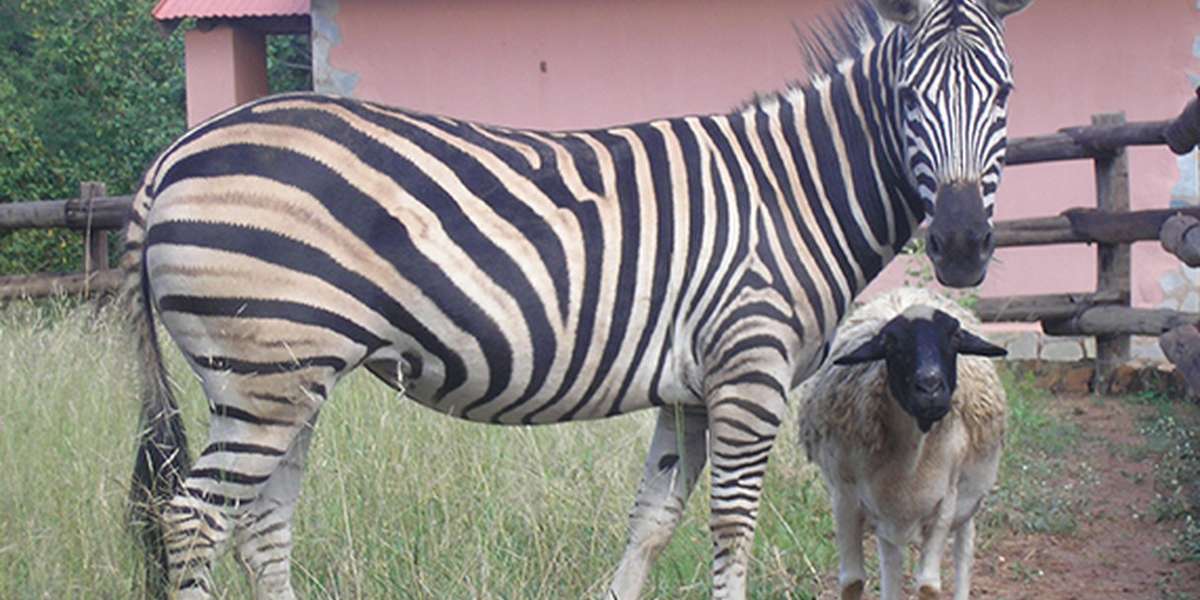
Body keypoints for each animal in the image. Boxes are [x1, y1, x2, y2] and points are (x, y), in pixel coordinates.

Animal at [798, 287, 1007, 600]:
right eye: (890, 343)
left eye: (955, 337)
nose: (930, 387)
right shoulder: (845, 498)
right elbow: (853, 581)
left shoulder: (945, 503)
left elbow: (929, 587)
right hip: (886, 520)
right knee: (892, 564)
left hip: (967, 508)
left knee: (964, 555)